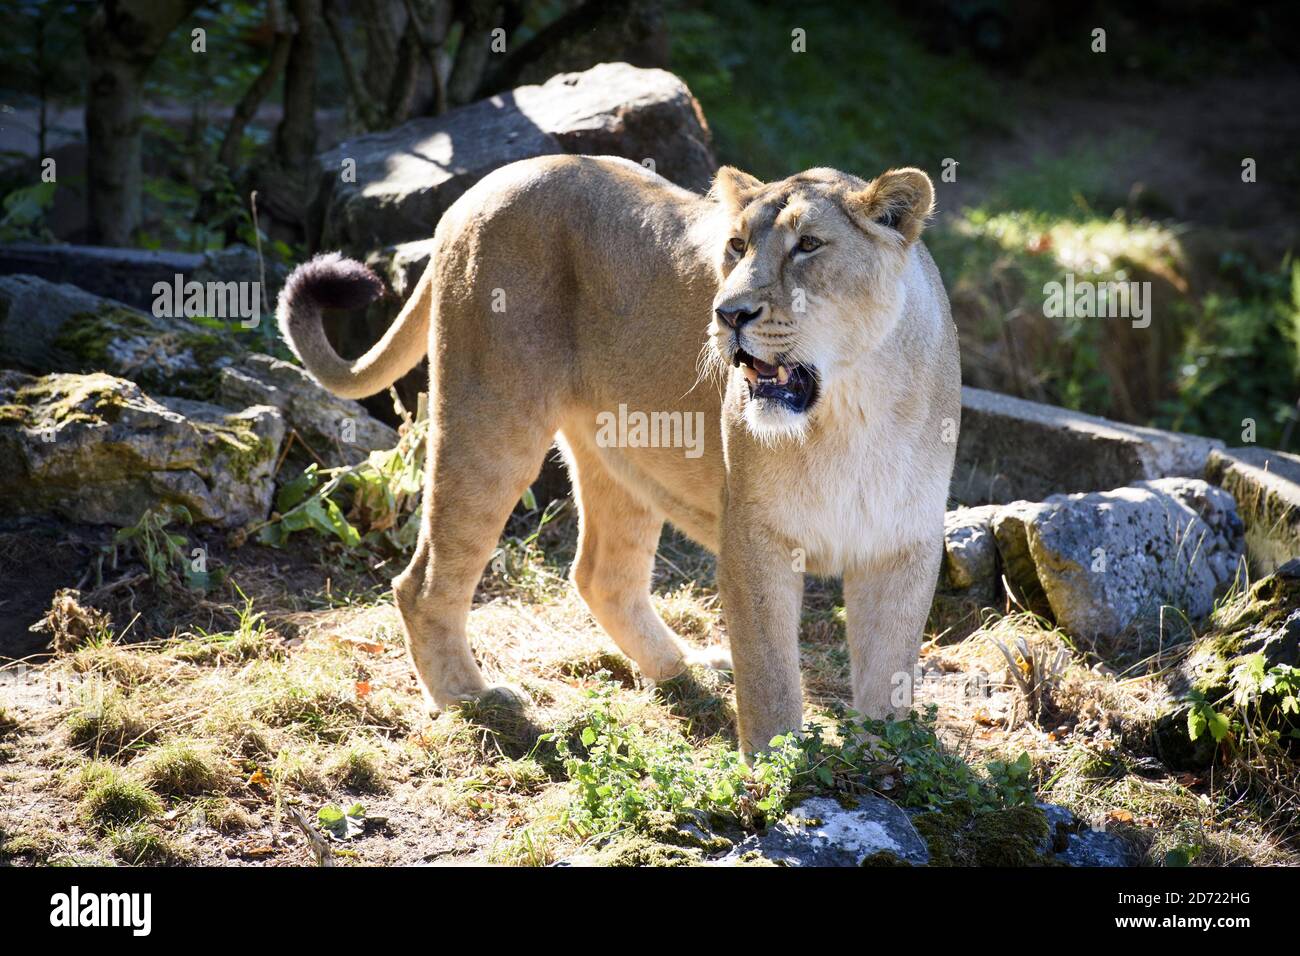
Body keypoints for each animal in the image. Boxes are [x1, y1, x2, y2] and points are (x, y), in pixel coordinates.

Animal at [278, 154, 961, 755]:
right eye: (736, 246)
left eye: (809, 246)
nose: (728, 313)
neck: (849, 411)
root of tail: (486, 185)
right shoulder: (754, 538)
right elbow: (769, 676)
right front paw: (780, 775)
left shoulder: (902, 545)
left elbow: (890, 676)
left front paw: (881, 759)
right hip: (490, 421)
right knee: (421, 582)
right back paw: (476, 703)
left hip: (622, 452)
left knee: (601, 575)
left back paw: (688, 668)